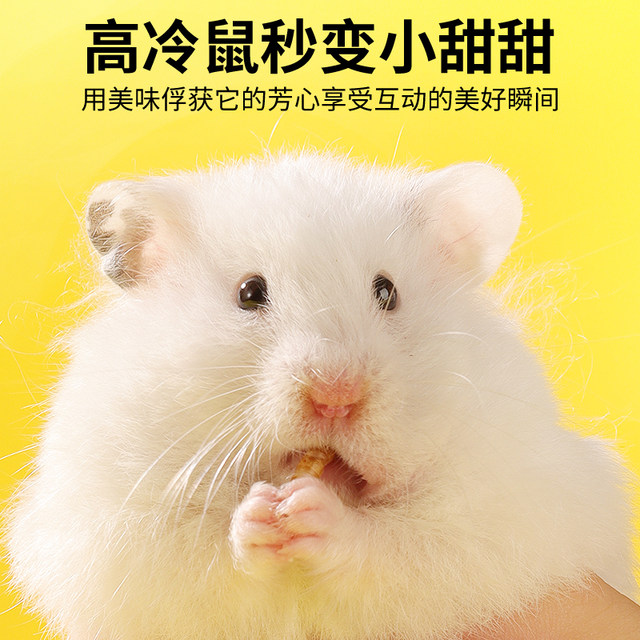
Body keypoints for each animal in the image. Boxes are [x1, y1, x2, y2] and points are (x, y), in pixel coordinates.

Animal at [6, 151, 636, 640]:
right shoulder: (106, 530)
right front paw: (257, 515)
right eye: (250, 292)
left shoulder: (509, 511)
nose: (336, 395)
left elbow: (400, 548)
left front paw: (316, 513)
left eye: (387, 292)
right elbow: (203, 555)